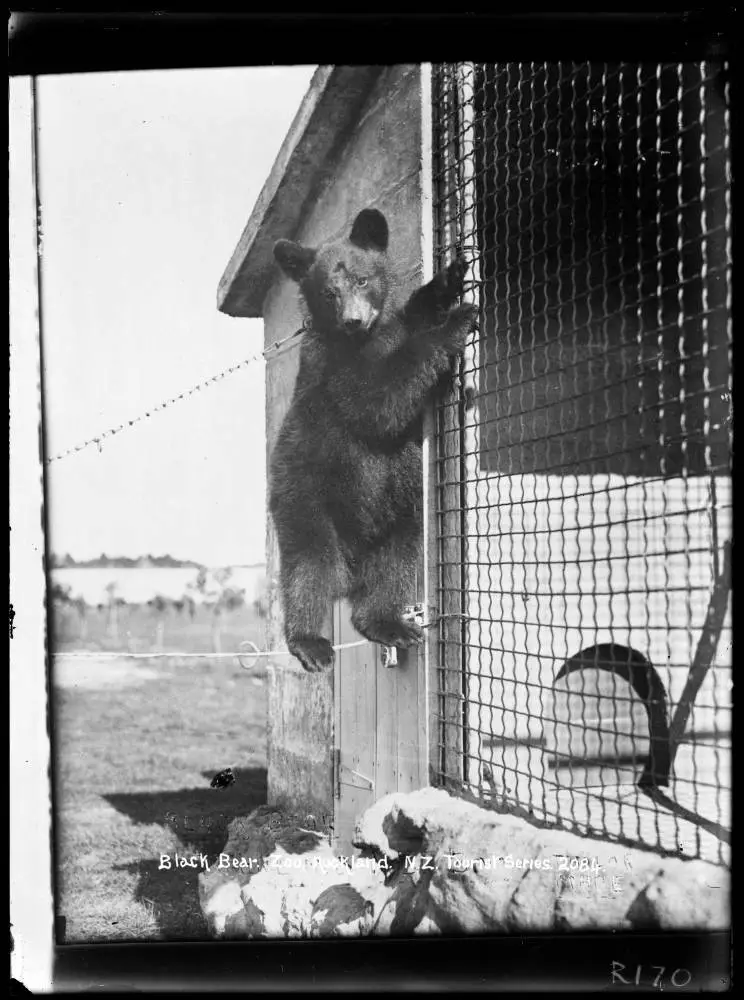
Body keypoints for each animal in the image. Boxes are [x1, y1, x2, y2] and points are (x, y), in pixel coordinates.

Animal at [269, 207, 477, 673]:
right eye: (328, 292)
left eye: (363, 279)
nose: (353, 320)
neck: (368, 337)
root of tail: (353, 557)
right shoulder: (333, 366)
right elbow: (378, 400)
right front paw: (457, 321)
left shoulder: (392, 324)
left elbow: (414, 313)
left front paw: (450, 279)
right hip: (304, 500)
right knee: (309, 569)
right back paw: (309, 643)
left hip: (400, 513)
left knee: (395, 567)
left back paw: (388, 624)